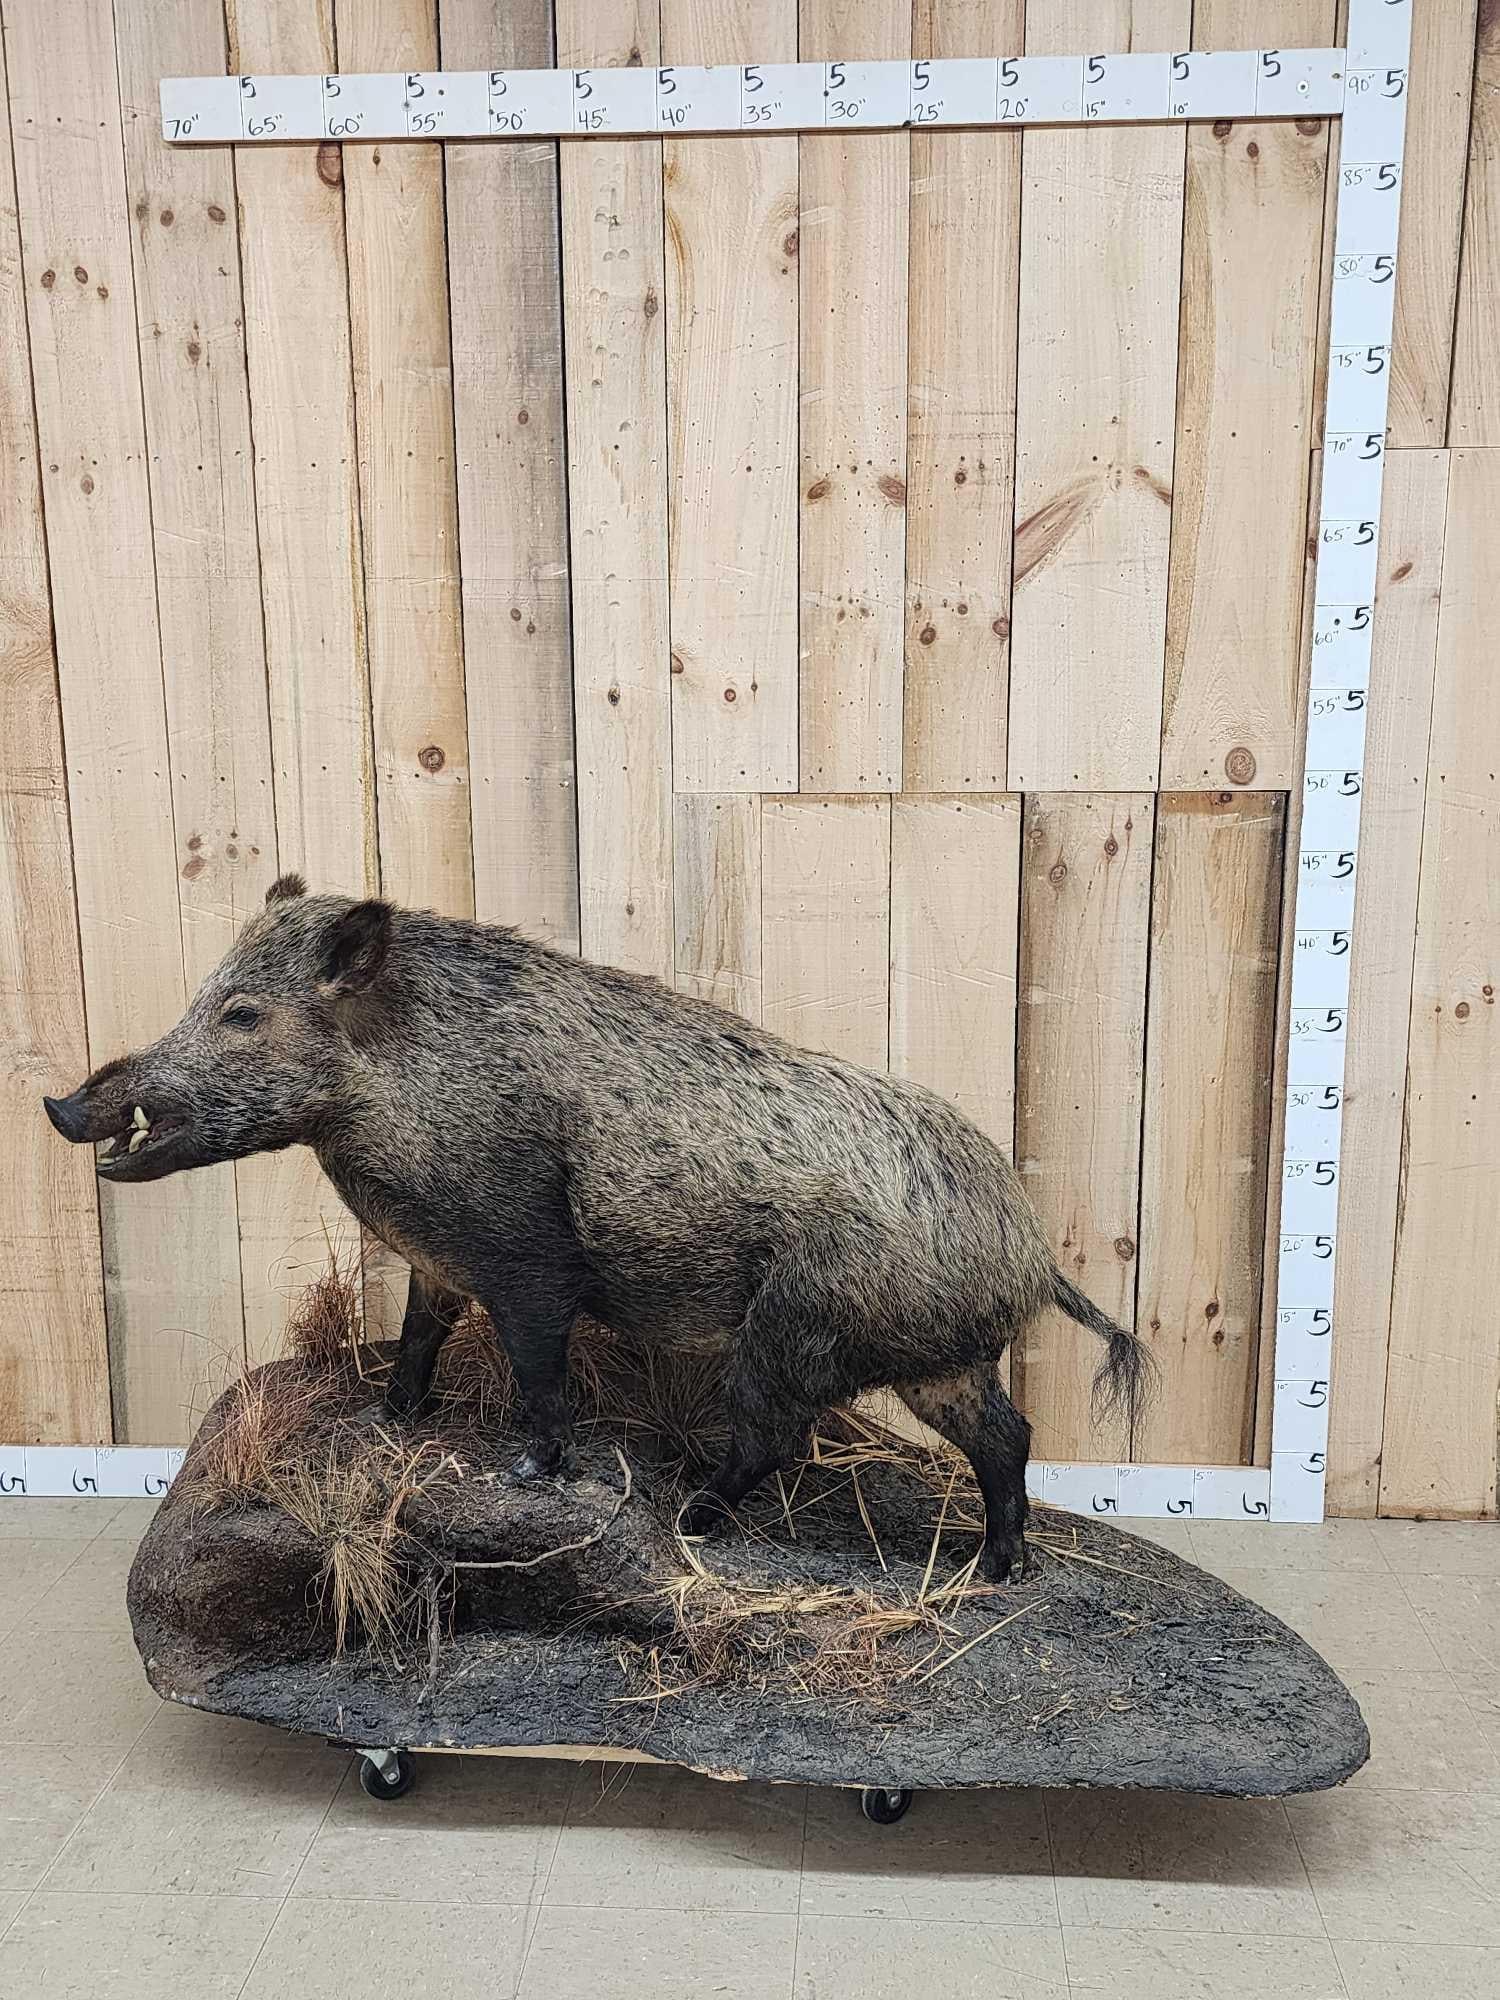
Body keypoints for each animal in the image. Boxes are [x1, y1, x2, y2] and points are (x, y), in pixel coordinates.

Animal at [44, 875, 1152, 1583]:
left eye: (241, 1012)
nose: (61, 1103)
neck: (390, 1095)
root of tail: (1029, 1251)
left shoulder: (529, 1258)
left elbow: (540, 1371)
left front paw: (528, 1470)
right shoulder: (439, 1258)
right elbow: (418, 1336)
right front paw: (390, 1417)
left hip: (799, 1329)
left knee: (779, 1433)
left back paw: (697, 1517)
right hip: (938, 1358)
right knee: (1007, 1434)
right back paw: (997, 1569)